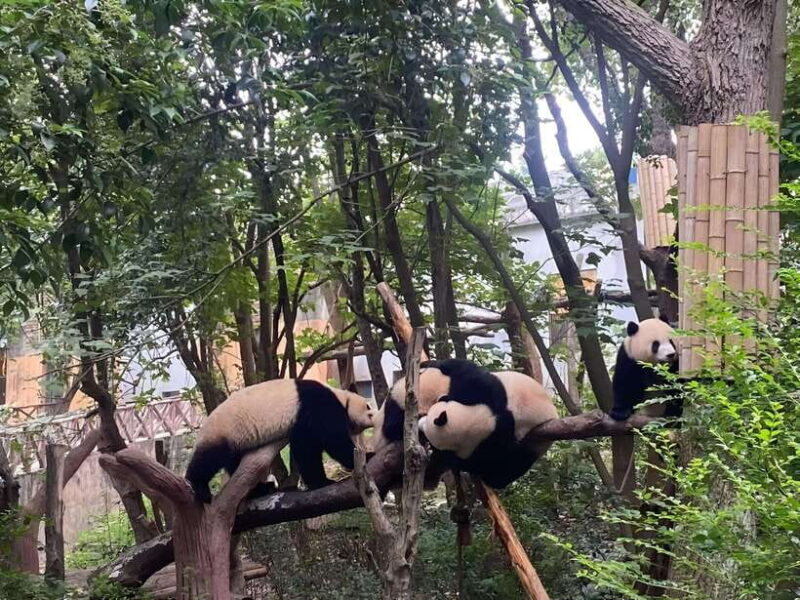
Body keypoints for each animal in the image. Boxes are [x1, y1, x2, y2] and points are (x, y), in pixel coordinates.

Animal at [185, 378, 374, 503]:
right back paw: (199, 487)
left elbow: (304, 447)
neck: (340, 397)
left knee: (236, 467)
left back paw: (261, 489)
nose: (376, 420)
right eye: (368, 408)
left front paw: (318, 481)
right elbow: (332, 440)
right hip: (225, 431)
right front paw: (367, 456)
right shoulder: (318, 405)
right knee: (210, 458)